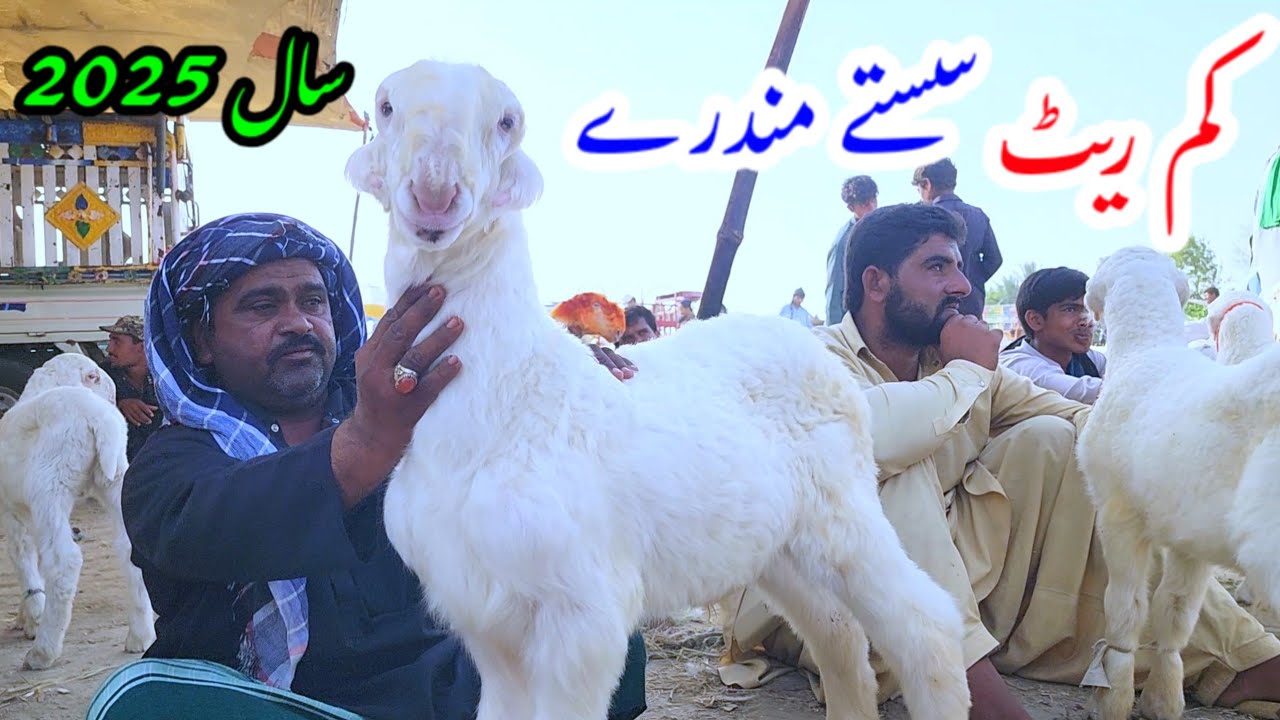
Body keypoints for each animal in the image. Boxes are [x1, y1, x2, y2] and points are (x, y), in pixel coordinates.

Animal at [0, 353, 154, 670]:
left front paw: (33, 617)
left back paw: (43, 652)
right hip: (116, 480)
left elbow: (22, 556)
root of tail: (99, 419)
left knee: (64, 562)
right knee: (129, 548)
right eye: (94, 378)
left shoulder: (14, 511)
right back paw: (140, 637)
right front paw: (25, 617)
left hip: (50, 488)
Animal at [345, 59, 971, 720]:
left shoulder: (582, 611)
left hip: (842, 508)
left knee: (926, 624)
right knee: (838, 632)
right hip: (776, 544)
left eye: (508, 121)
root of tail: (823, 355)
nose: (434, 192)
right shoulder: (486, 617)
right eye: (386, 107)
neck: (507, 390)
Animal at [1076, 246, 1280, 720]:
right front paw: (1162, 700)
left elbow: (1125, 608)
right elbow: (1175, 612)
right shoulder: (1191, 541)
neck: (1146, 350)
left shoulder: (1117, 514)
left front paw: (1111, 697)